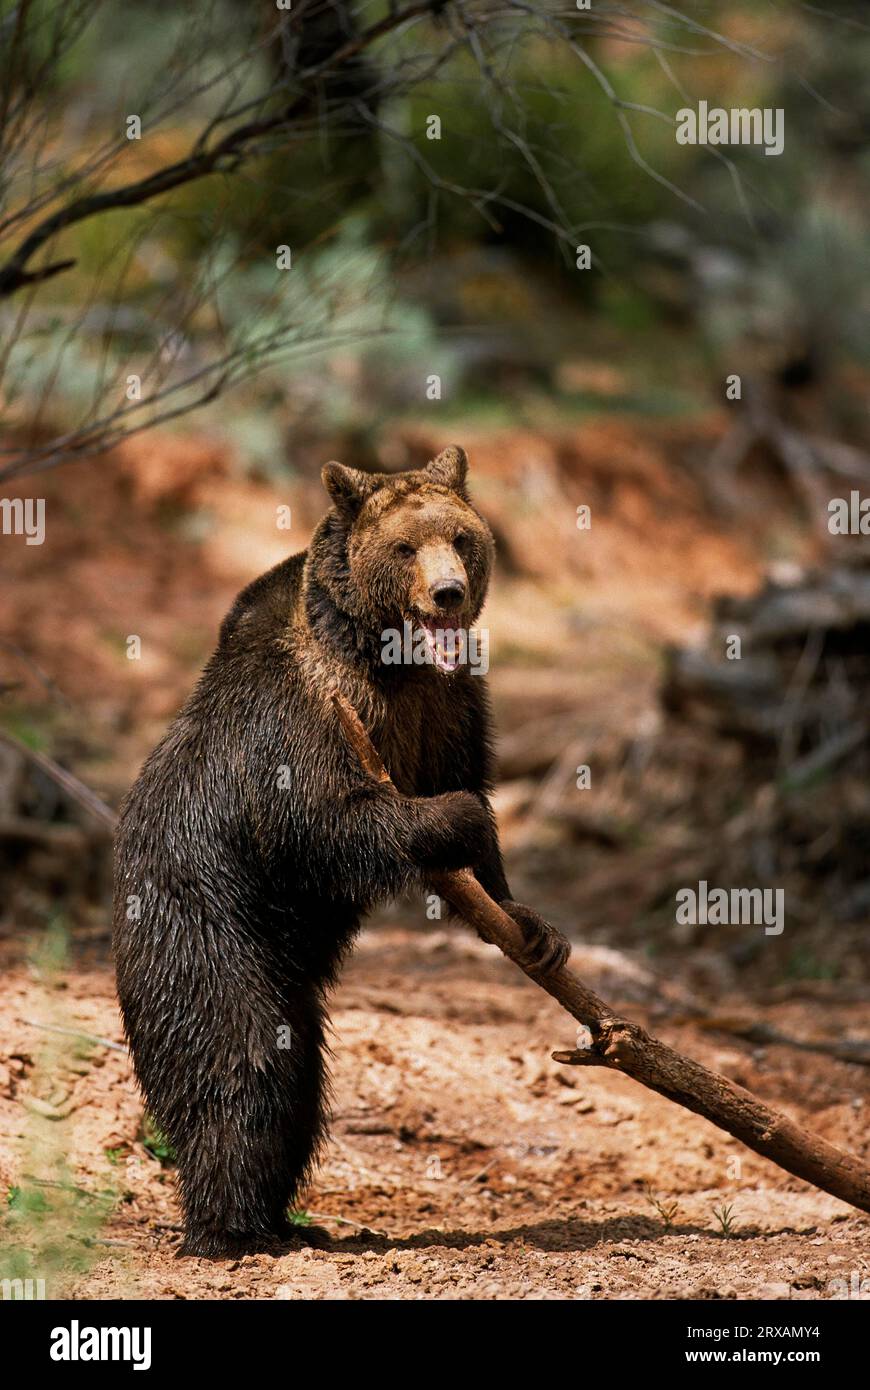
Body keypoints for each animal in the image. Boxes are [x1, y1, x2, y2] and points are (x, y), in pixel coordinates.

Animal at [112, 445, 569, 1258]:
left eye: (462, 537)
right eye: (406, 546)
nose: (448, 593)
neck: (392, 662)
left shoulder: (450, 708)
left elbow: (468, 788)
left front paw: (528, 921)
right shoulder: (307, 713)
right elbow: (326, 822)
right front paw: (460, 821)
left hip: (285, 970)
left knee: (299, 1074)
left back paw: (284, 1218)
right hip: (206, 925)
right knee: (240, 1057)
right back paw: (229, 1226)